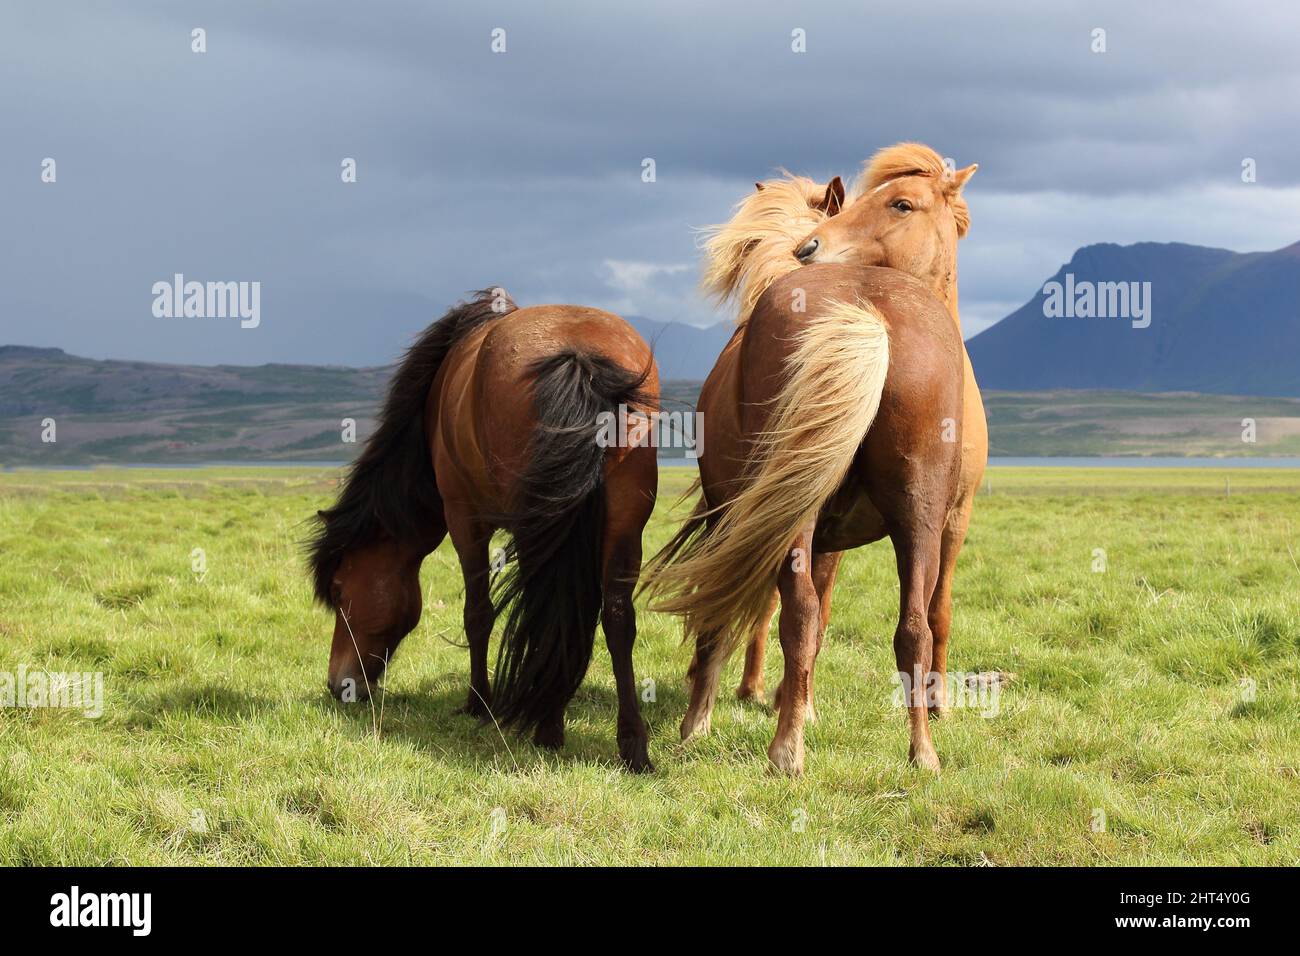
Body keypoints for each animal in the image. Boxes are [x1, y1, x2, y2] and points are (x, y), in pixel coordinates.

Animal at [308, 289, 660, 772]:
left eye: (340, 591)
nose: (337, 684)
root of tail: (579, 357)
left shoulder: (465, 521)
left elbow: (477, 614)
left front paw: (479, 703)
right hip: (624, 525)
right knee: (617, 618)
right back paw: (630, 745)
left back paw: (547, 727)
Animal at [642, 143, 978, 774]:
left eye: (900, 204)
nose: (809, 248)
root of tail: (870, 311)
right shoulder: (832, 538)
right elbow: (822, 622)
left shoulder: (737, 519)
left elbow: (727, 614)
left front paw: (696, 724)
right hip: (920, 514)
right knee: (913, 627)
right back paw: (922, 753)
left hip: (791, 517)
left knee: (794, 614)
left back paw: (785, 750)